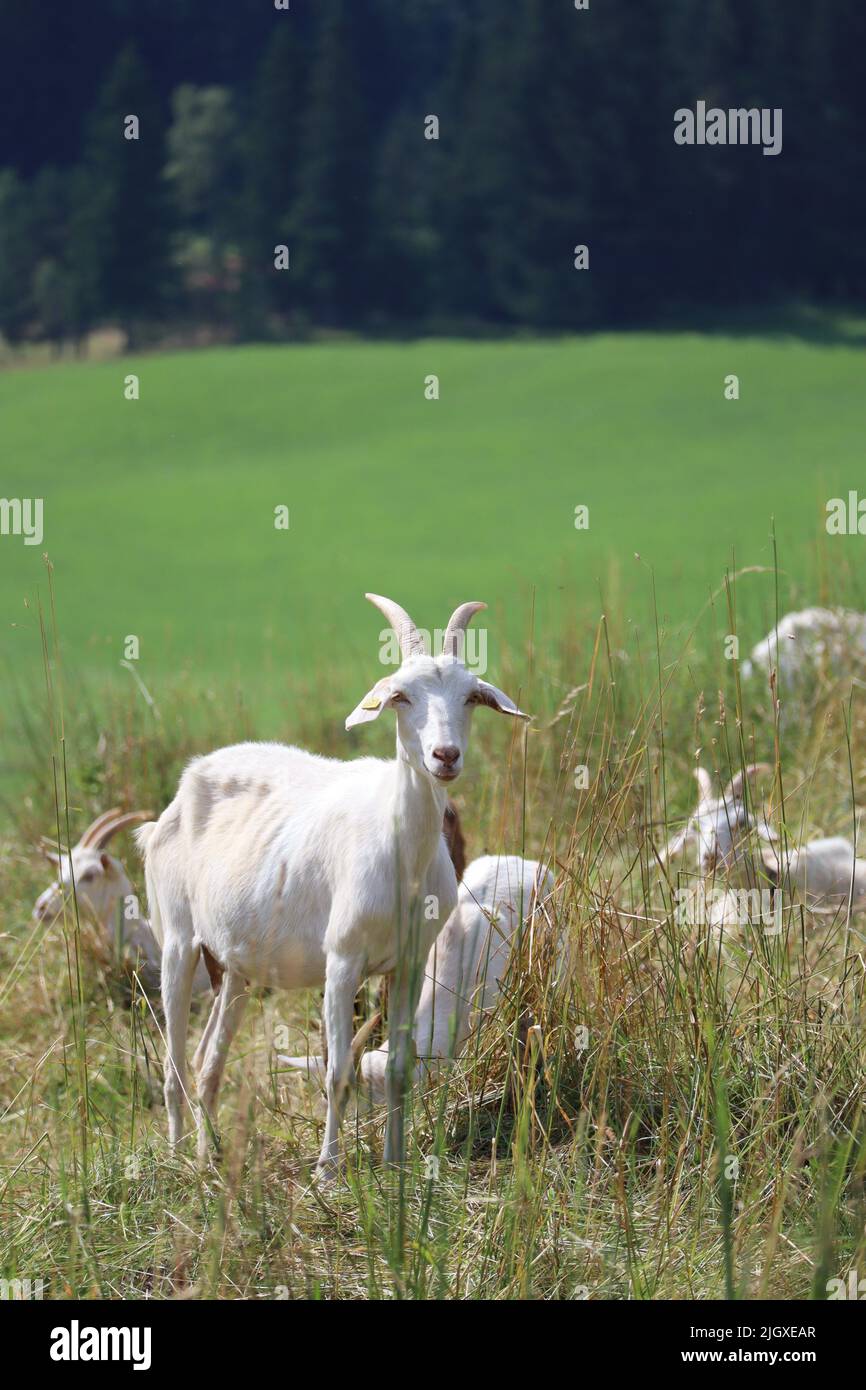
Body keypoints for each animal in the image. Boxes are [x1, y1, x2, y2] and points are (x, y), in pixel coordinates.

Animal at [136, 595, 529, 1173]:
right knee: (173, 1066)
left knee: (208, 1062)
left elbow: (398, 1069)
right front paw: (327, 1170)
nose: (445, 756)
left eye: (471, 696)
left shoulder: (409, 961)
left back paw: (209, 1161)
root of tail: (179, 794)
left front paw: (395, 1164)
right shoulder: (342, 961)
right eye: (400, 695)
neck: (400, 854)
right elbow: (337, 1071)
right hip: (178, 940)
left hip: (234, 963)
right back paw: (175, 1160)